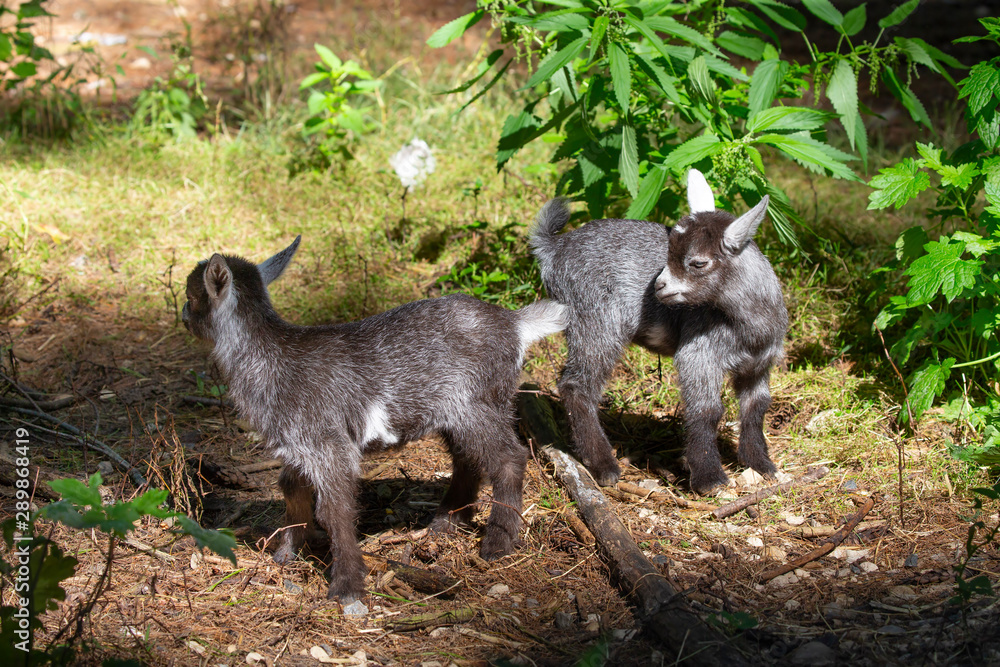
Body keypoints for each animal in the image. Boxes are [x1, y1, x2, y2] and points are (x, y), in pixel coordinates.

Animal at [181, 237, 567, 600]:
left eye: (190, 293)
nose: (183, 314)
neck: (270, 358)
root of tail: (514, 323)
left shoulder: (327, 444)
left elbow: (334, 510)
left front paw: (347, 585)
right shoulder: (297, 446)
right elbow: (291, 489)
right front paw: (286, 554)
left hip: (477, 405)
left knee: (509, 458)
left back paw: (497, 544)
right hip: (456, 414)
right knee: (468, 460)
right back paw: (446, 522)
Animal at [530, 169, 787, 494]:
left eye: (698, 262)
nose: (658, 286)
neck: (750, 325)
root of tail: (554, 250)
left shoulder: (759, 365)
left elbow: (756, 408)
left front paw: (761, 464)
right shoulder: (698, 355)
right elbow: (707, 410)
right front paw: (709, 478)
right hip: (595, 322)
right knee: (576, 386)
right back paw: (604, 466)